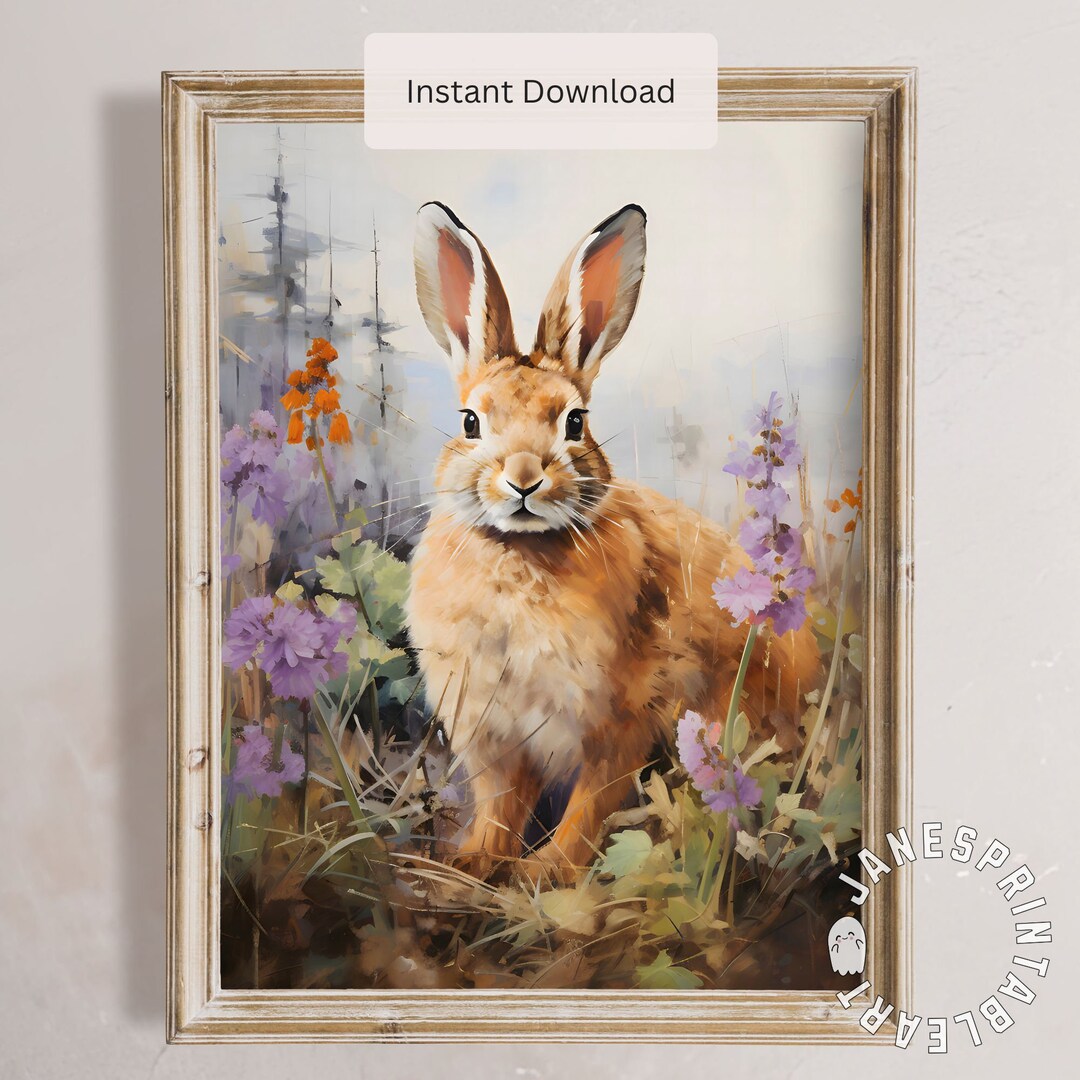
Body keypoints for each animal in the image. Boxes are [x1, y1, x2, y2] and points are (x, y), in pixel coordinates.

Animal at [407, 201, 820, 882]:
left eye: (575, 422)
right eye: (470, 422)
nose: (524, 478)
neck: (519, 552)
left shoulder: (618, 719)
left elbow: (590, 806)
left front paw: (545, 873)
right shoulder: (493, 733)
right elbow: (499, 805)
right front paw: (472, 861)